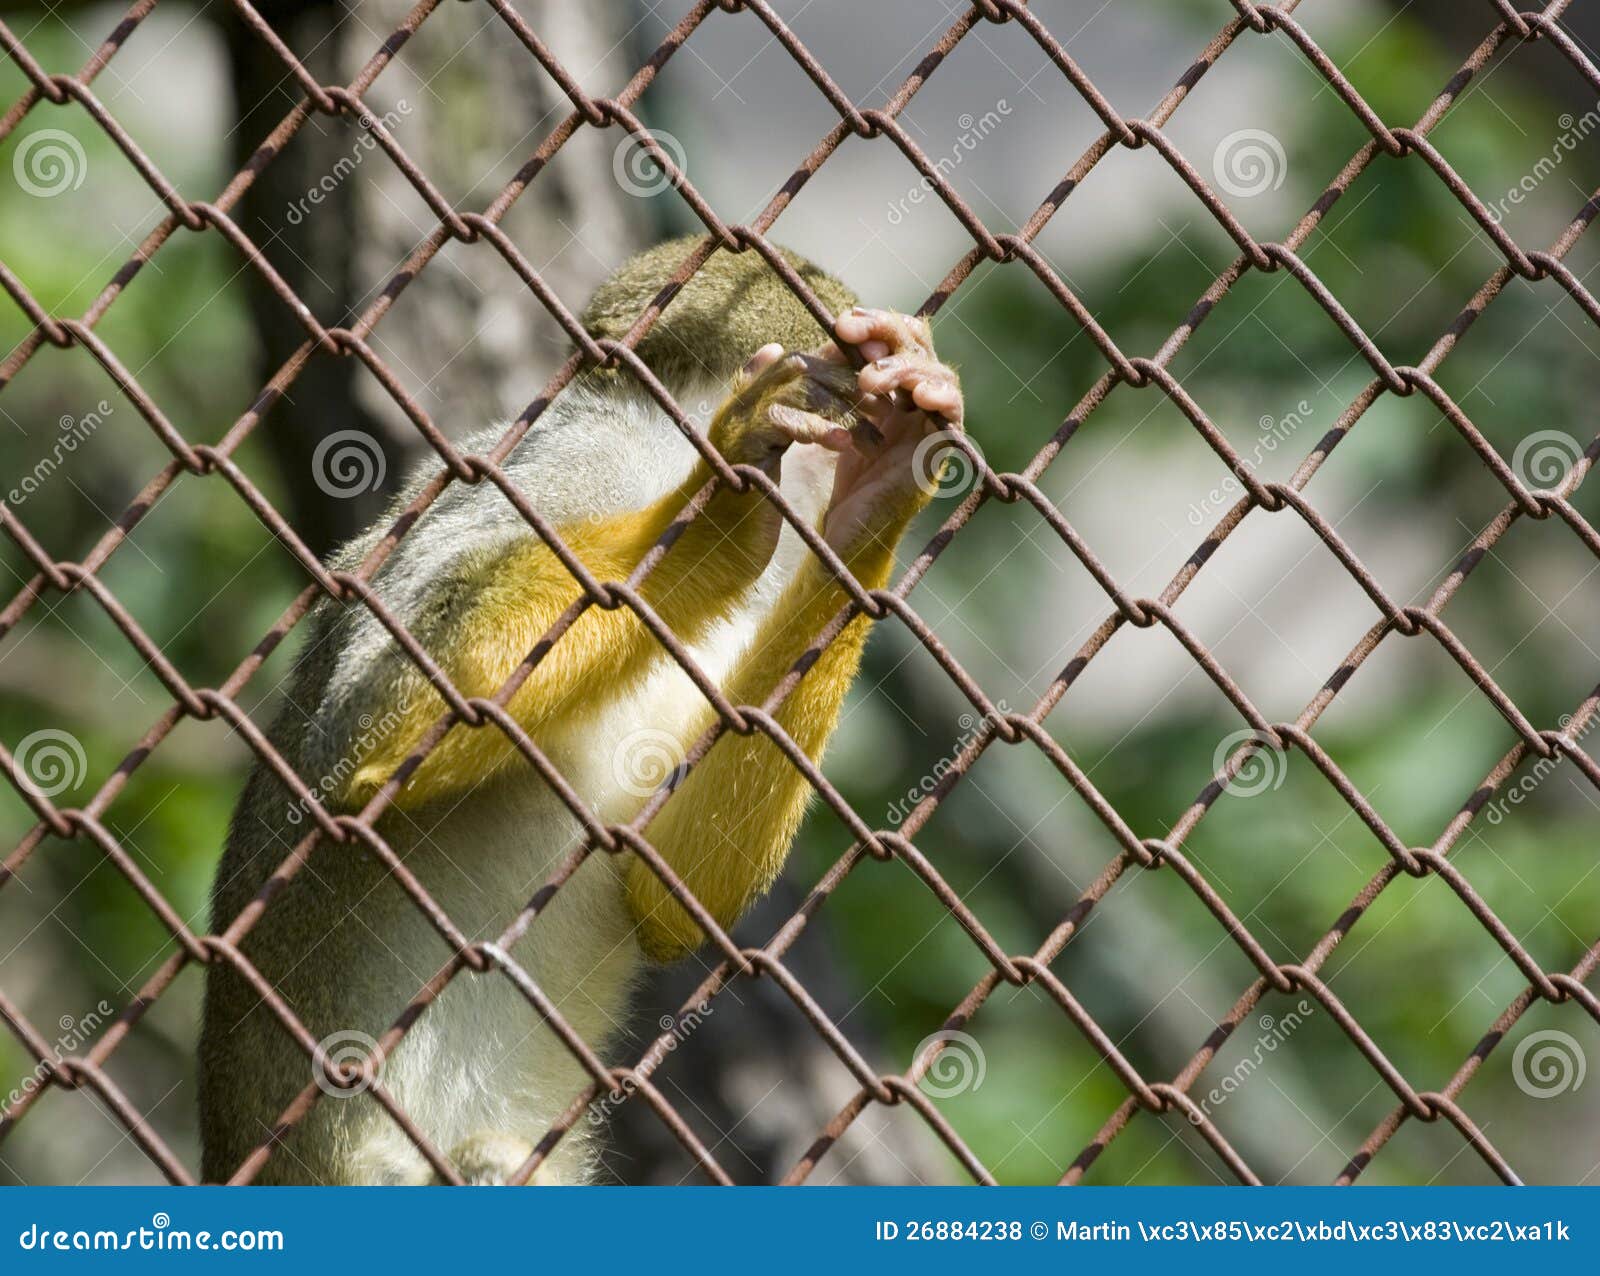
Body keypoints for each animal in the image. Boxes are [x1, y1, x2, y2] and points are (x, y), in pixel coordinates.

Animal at [198, 237, 964, 1185]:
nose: (838, 464)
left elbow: (664, 899)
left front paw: (882, 487)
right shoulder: (564, 465)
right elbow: (376, 720)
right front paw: (723, 509)